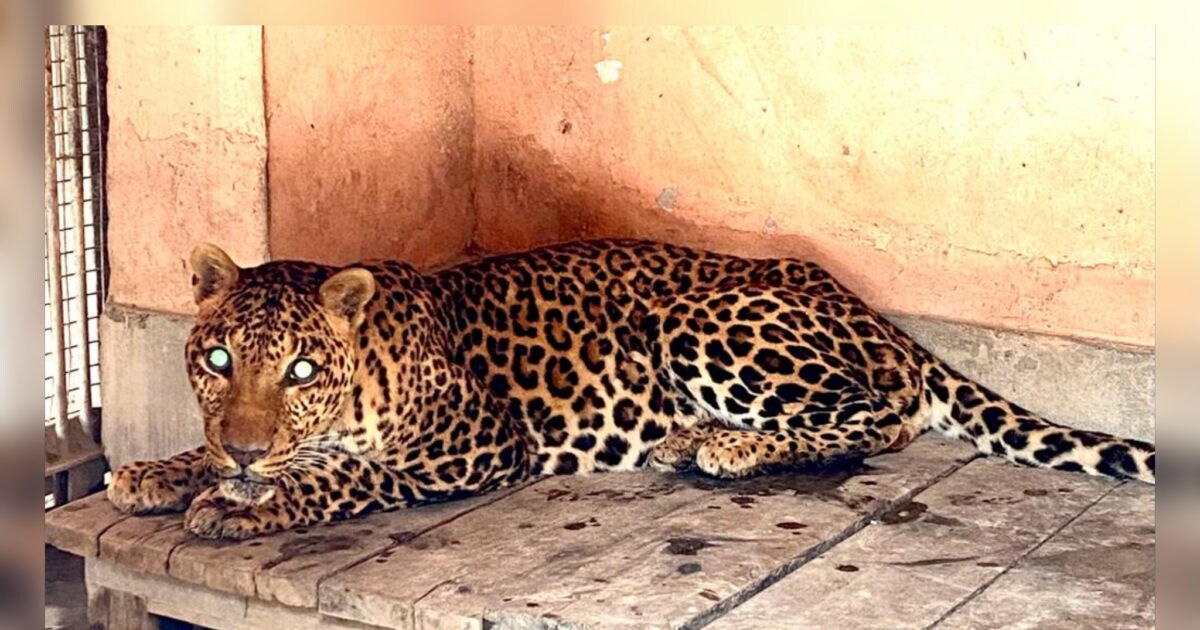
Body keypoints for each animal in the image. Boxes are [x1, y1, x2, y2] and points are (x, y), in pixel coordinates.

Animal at [106, 239, 1155, 539]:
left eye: (303, 371)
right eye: (217, 360)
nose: (248, 448)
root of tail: (864, 305)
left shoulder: (482, 445)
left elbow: (346, 475)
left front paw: (242, 502)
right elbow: (207, 453)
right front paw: (161, 472)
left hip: (701, 316)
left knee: (879, 418)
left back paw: (721, 445)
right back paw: (690, 439)